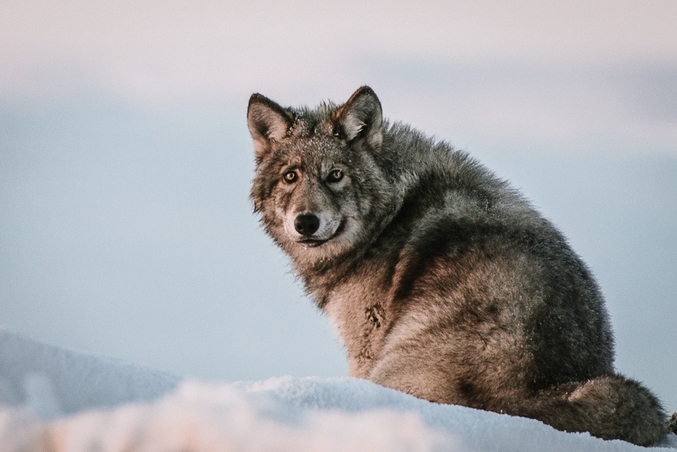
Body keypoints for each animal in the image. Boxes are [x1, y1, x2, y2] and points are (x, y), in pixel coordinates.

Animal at [246, 86, 672, 446]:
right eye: (290, 176)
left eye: (335, 175)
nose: (305, 222)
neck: (388, 218)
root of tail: (543, 386)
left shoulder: (365, 347)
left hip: (395, 363)